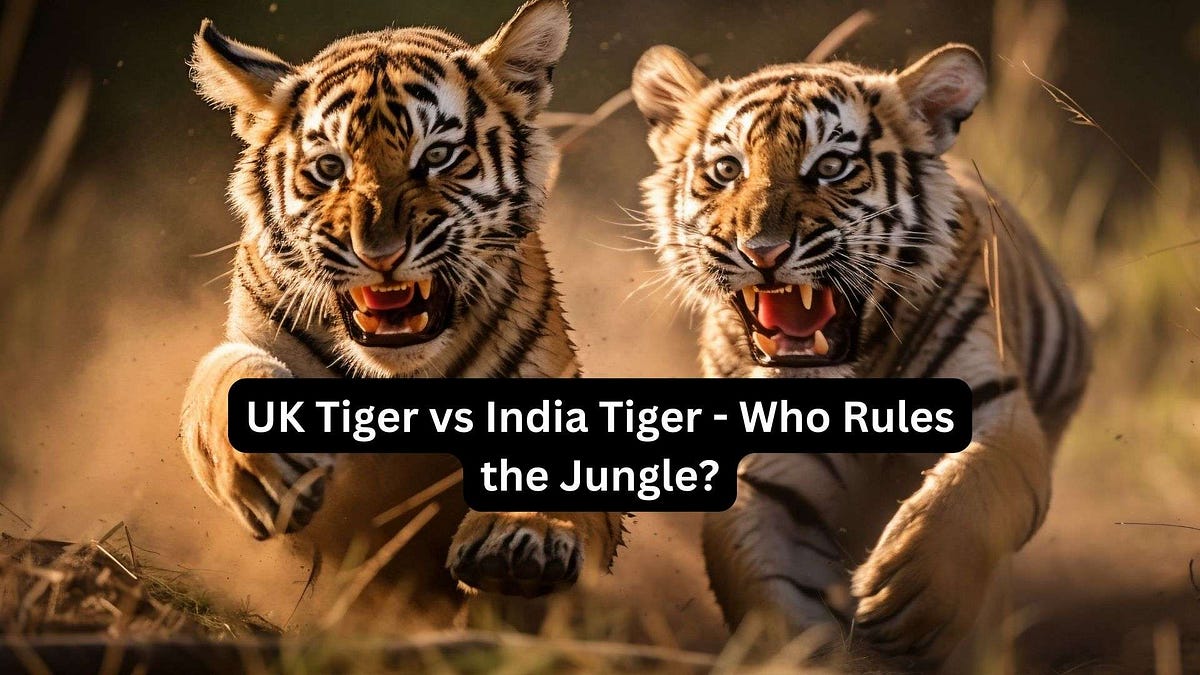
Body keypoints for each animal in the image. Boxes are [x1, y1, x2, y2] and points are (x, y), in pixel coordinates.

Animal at [180, 0, 622, 601]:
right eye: (330, 167)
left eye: (437, 155)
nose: (380, 253)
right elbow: (225, 373)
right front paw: (267, 476)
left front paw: (524, 535)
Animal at [630, 43, 1091, 664]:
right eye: (727, 170)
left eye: (830, 167)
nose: (762, 252)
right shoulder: (765, 483)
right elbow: (767, 594)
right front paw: (815, 655)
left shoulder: (994, 404)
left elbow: (975, 486)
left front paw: (910, 595)